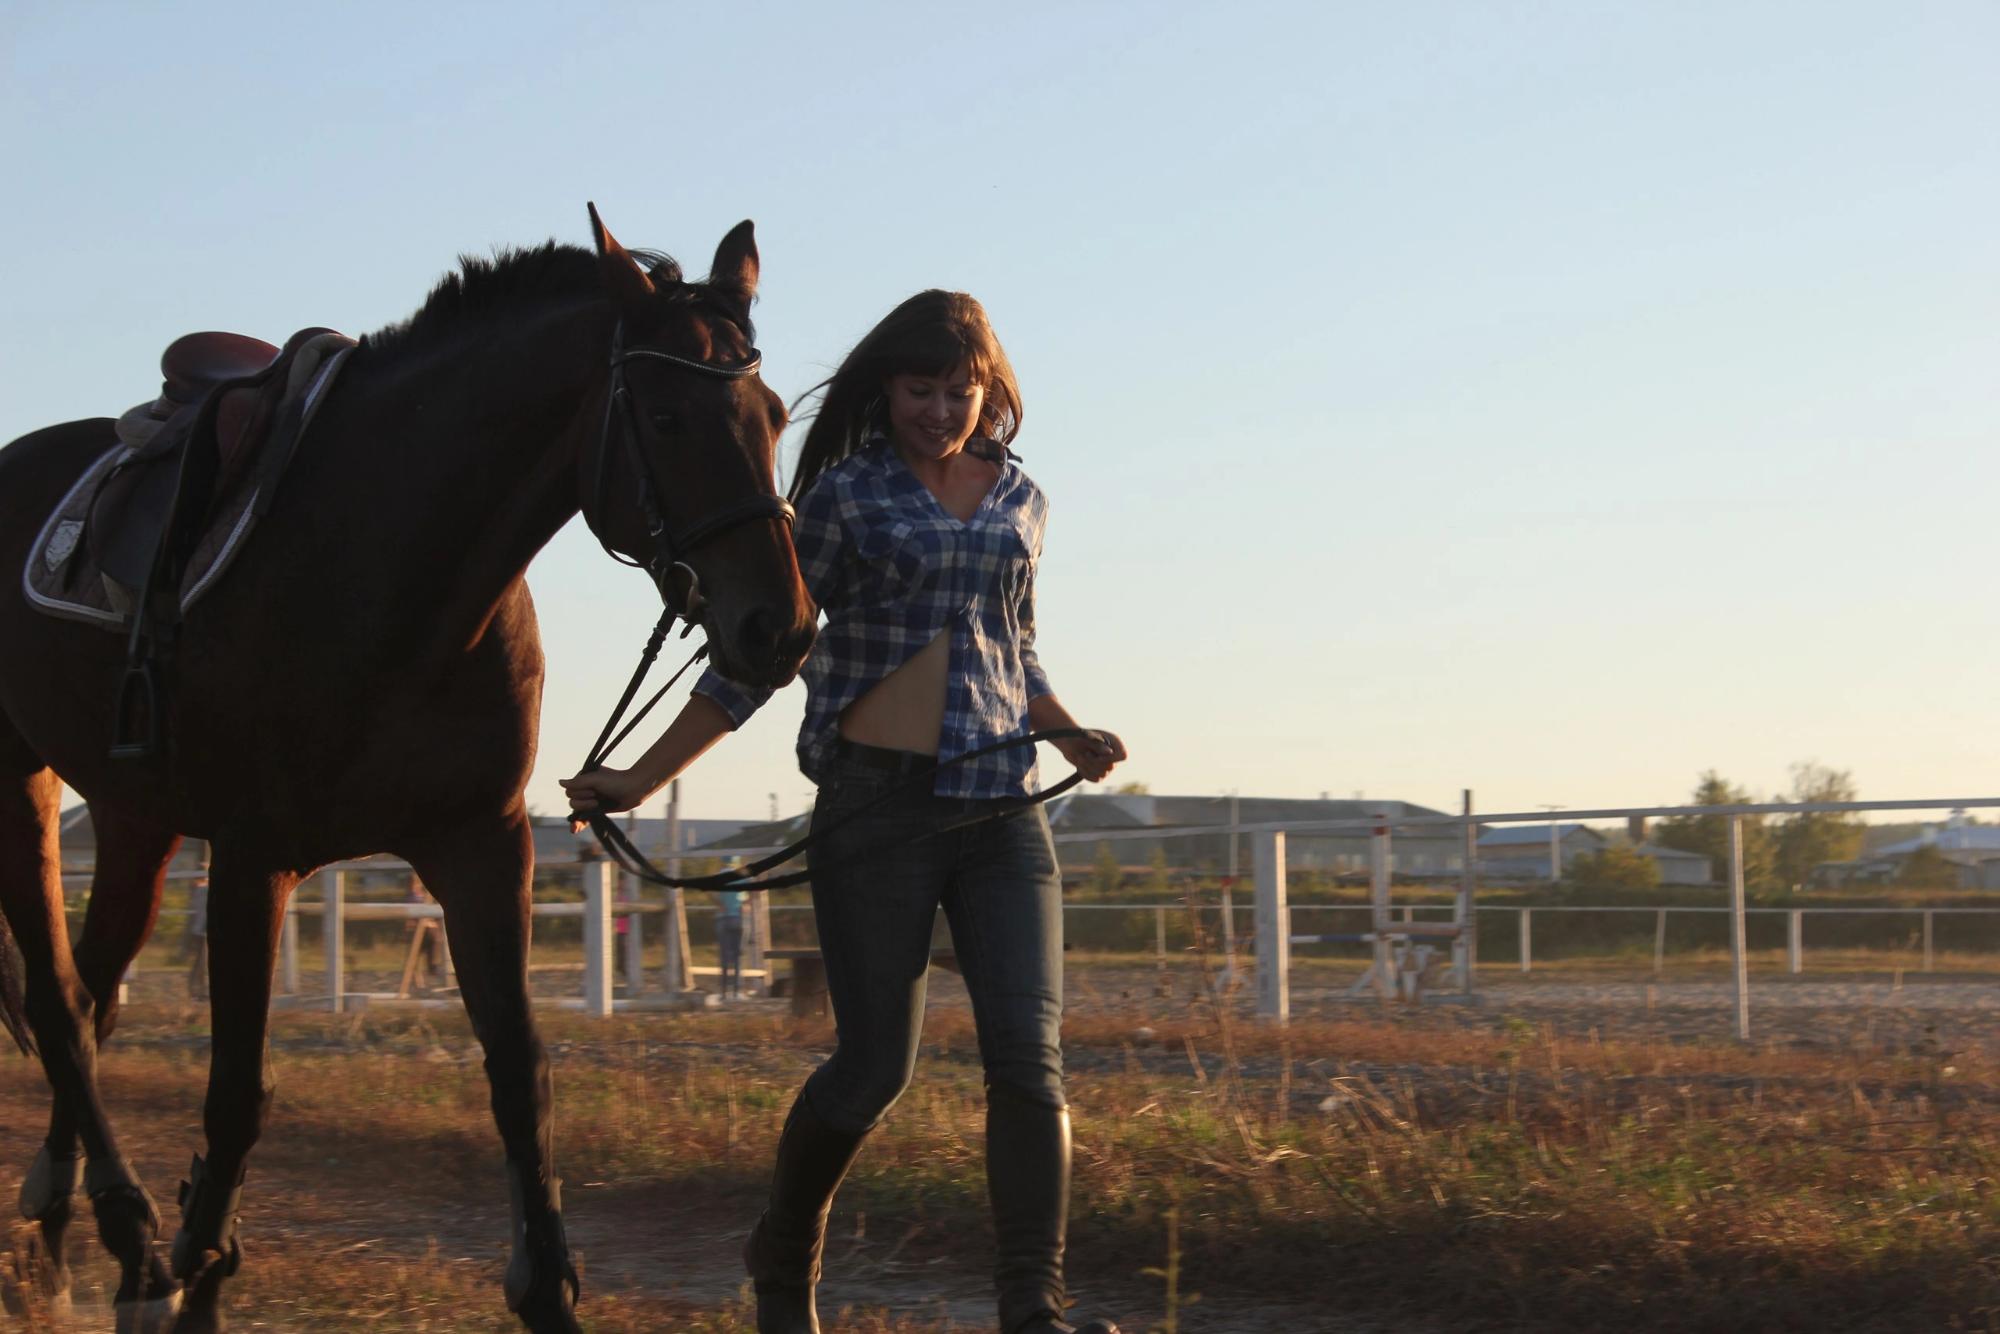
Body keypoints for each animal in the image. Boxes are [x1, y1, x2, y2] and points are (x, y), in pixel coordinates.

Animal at [0, 211, 820, 1334]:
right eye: (662, 414)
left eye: (772, 415)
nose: (781, 628)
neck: (396, 570)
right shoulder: (255, 859)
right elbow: (237, 1090)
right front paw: (202, 1267)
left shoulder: (481, 846)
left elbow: (520, 1073)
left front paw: (548, 1291)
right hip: (22, 787)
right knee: (55, 1002)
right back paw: (130, 1237)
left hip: (134, 820)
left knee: (88, 997)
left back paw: (67, 1234)